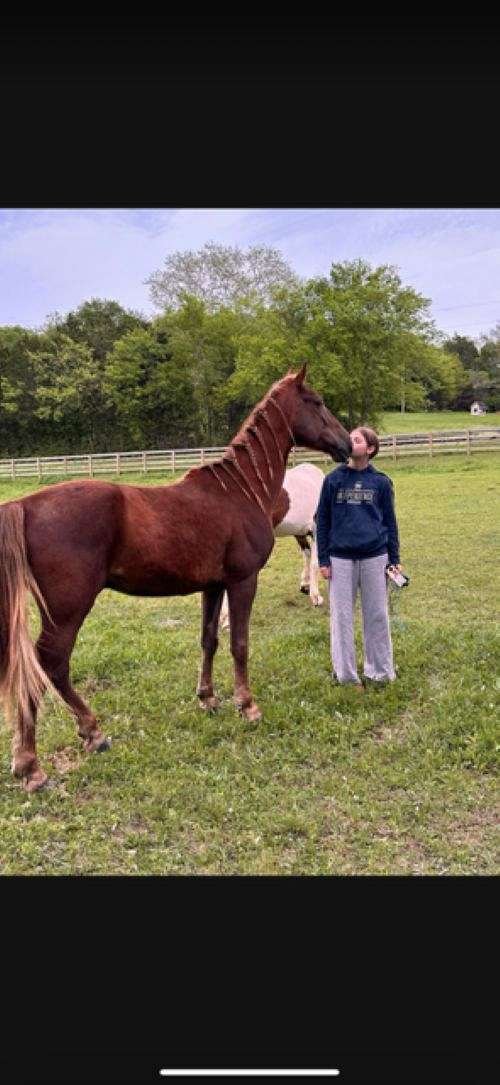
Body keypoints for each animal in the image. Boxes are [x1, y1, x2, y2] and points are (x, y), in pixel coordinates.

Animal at [219, 461, 325, 631]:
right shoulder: (316, 528)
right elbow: (315, 562)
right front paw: (315, 597)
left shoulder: (301, 531)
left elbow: (307, 555)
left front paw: (305, 585)